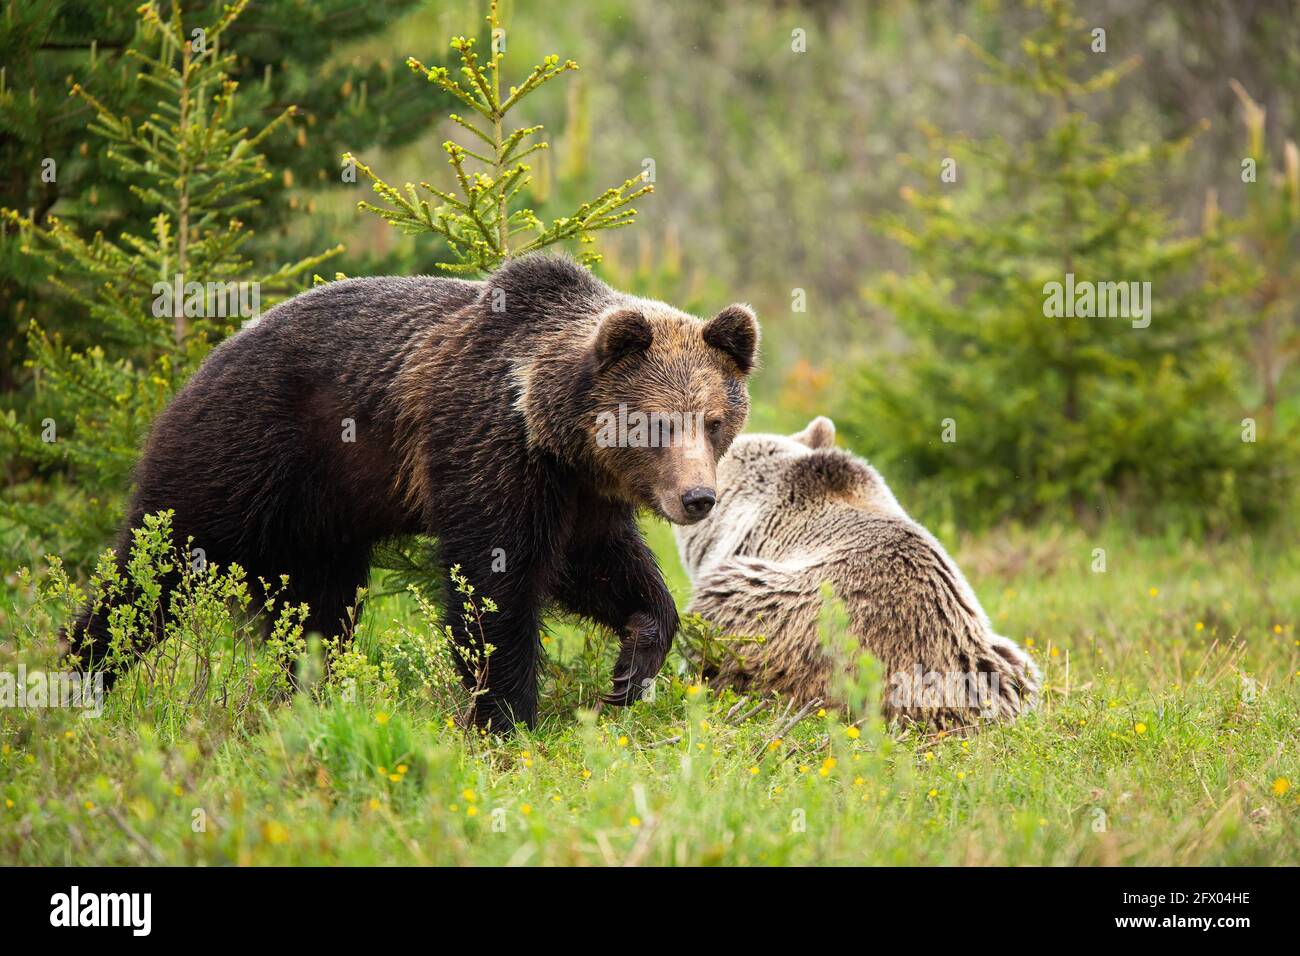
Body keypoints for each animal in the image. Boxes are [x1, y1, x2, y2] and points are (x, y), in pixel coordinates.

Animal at [63, 254, 760, 731]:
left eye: (713, 420)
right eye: (657, 424)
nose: (697, 497)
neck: (549, 428)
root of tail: (199, 365)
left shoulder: (582, 492)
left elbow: (601, 566)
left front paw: (632, 665)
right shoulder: (484, 445)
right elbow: (493, 585)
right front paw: (507, 716)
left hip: (321, 526)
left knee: (318, 616)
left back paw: (311, 695)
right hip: (239, 457)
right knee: (153, 568)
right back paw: (82, 674)